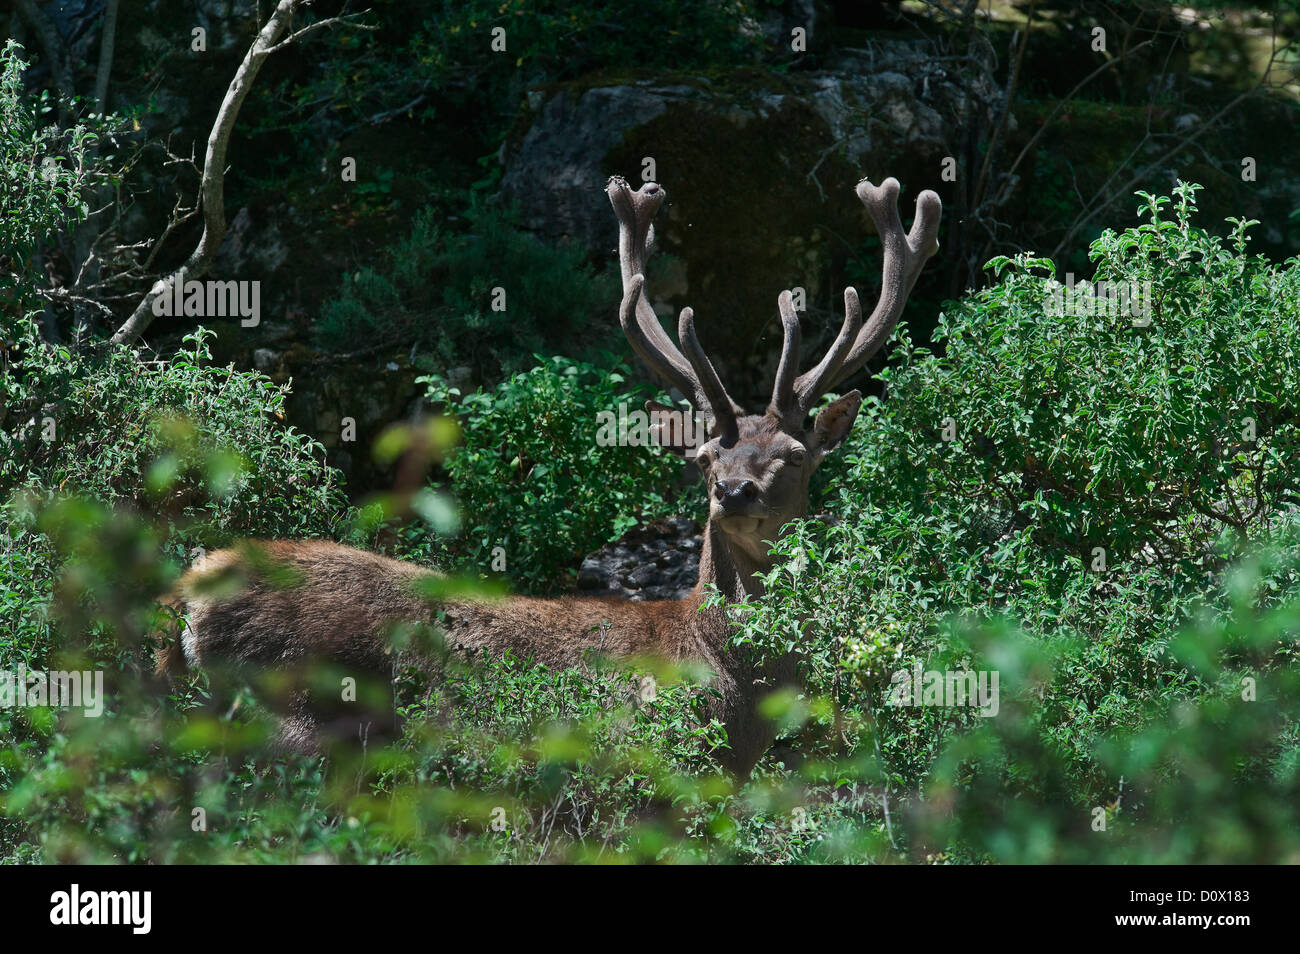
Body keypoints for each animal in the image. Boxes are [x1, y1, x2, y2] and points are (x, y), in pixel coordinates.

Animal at [154, 175, 941, 775]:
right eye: (701, 460)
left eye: (796, 457)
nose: (734, 491)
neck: (735, 693)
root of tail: (185, 601)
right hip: (295, 721)